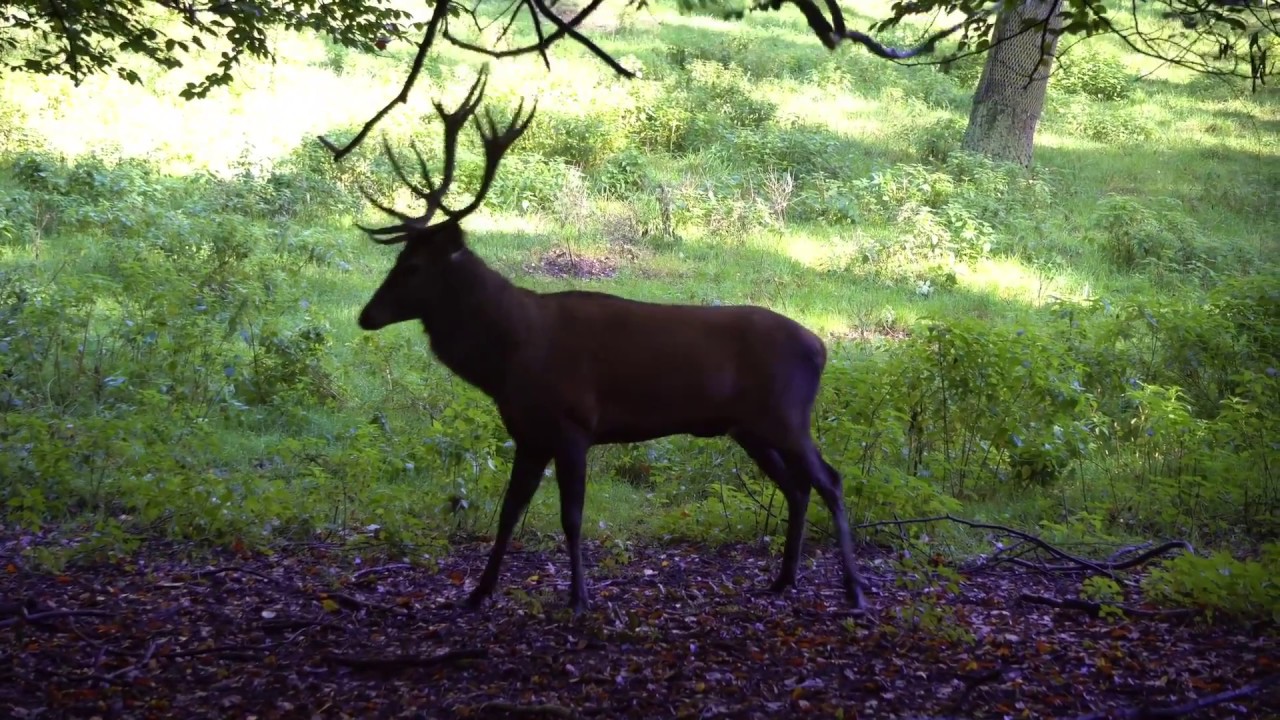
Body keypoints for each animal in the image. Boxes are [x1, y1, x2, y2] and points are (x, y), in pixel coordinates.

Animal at [348, 65, 869, 615]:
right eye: (397, 259)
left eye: (414, 267)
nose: (367, 314)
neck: (508, 356)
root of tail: (821, 347)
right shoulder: (528, 433)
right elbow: (509, 512)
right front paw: (478, 592)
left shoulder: (573, 424)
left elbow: (571, 517)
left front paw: (579, 597)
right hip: (749, 427)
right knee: (797, 487)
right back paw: (783, 579)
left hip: (786, 414)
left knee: (830, 480)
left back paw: (853, 589)